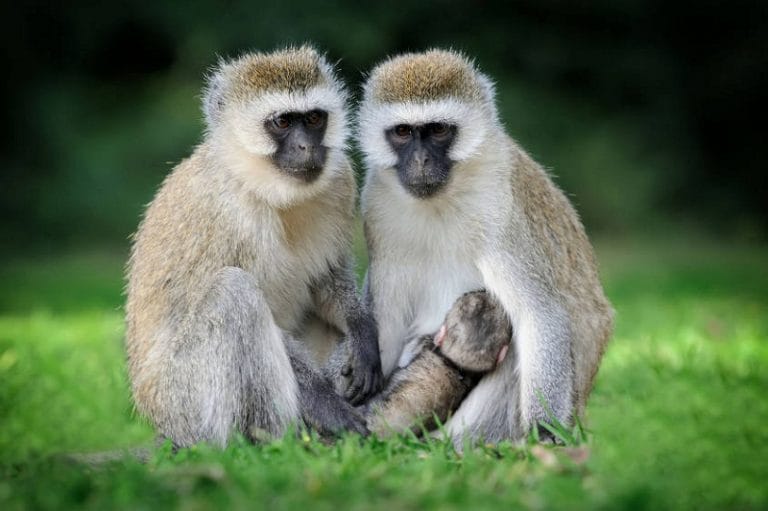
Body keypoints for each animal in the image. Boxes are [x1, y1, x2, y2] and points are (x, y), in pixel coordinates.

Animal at [124, 46, 383, 448]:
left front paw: (363, 331)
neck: (264, 189)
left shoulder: (341, 181)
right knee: (234, 293)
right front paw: (327, 405)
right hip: (184, 404)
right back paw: (278, 441)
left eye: (313, 118)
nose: (307, 147)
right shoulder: (226, 216)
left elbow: (326, 281)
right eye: (282, 123)